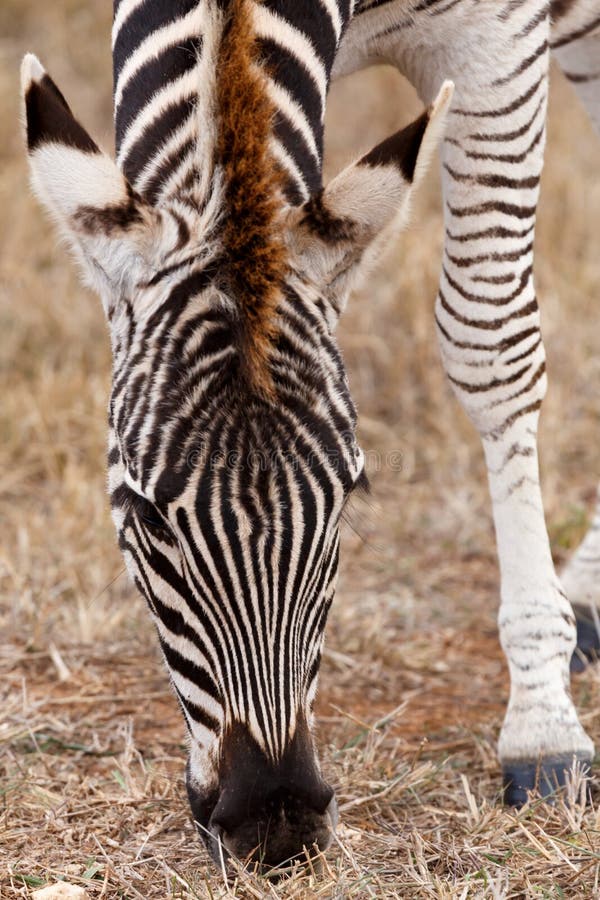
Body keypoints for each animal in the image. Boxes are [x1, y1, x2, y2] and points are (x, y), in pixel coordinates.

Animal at [20, 0, 599, 872]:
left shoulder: (498, 41)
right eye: (148, 519)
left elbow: (489, 340)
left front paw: (542, 726)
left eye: (350, 495)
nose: (276, 820)